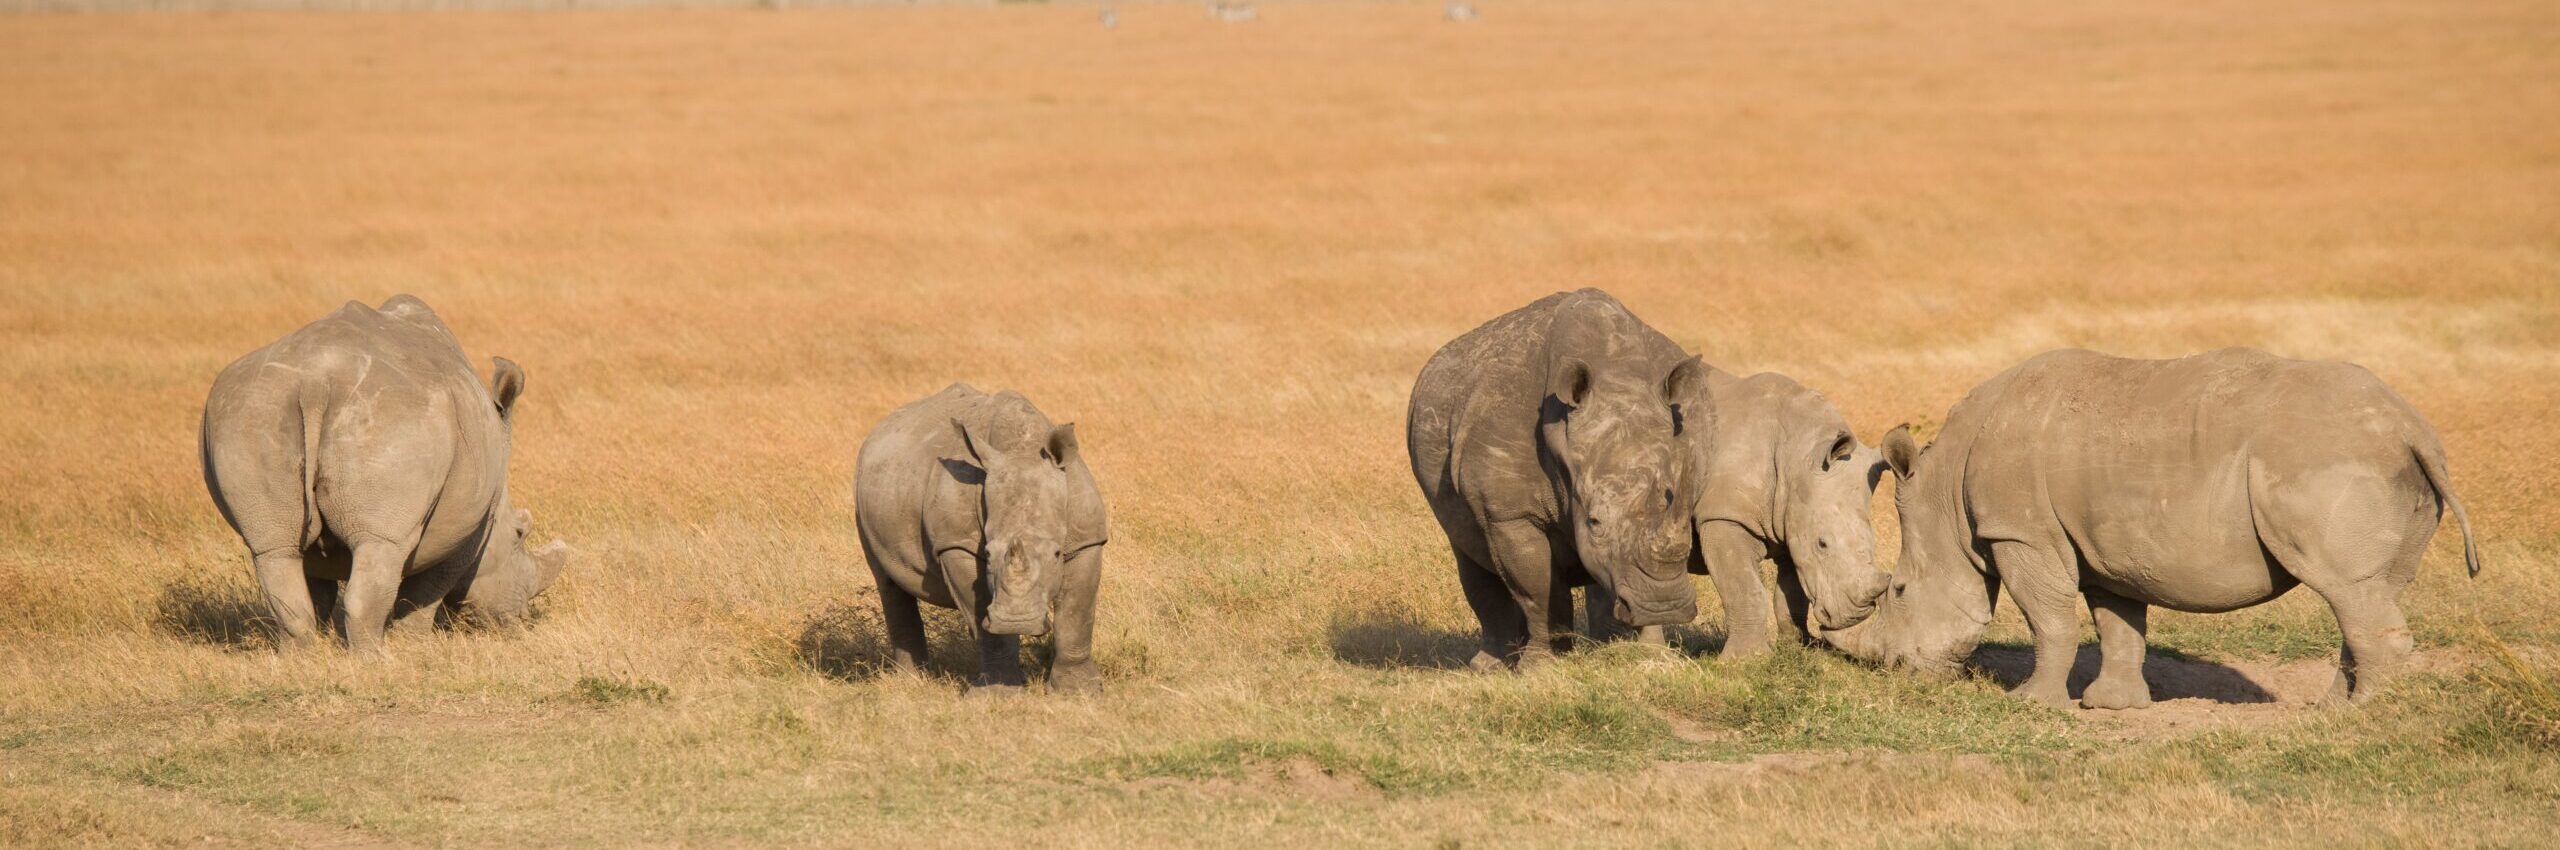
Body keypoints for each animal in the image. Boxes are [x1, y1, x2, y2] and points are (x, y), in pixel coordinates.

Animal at [200, 295, 570, 655]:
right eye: (519, 534)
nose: (521, 619)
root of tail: (316, 382)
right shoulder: (468, 530)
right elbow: (425, 592)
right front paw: (415, 647)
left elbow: (317, 588)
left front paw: (322, 644)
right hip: (394, 422)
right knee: (380, 547)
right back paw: (376, 660)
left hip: (254, 412)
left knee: (275, 551)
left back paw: (297, 658)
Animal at [854, 385, 1108, 694]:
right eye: (987, 555)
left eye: (1058, 554)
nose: (1016, 621)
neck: (1020, 448)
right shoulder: (956, 542)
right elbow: (982, 615)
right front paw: (998, 693)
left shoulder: (1087, 539)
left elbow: (1076, 614)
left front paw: (1080, 691)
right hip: (863, 491)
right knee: (888, 582)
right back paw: (911, 683)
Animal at [1408, 289, 1710, 670]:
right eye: (1594, 523)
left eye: (1687, 523)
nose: (1664, 604)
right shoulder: (1509, 516)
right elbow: (1537, 589)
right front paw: (1541, 669)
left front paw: (1649, 657)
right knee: (1472, 556)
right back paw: (1490, 666)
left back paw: (1603, 645)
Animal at [1586, 369, 1895, 657]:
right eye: (1822, 544)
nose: (1853, 617)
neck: (1798, 453)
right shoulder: (1724, 516)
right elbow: (1745, 588)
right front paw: (1748, 659)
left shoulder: (1790, 521)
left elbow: (1791, 595)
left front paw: (1798, 647)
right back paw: (1649, 653)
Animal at [1821, 348, 2481, 708]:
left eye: (1898, 591)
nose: (1899, 673)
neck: (1946, 494)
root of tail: (2411, 428)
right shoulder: (2103, 546)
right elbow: (2118, 625)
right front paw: (2110, 706)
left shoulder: (2020, 531)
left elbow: (2050, 619)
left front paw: (2032, 703)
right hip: (2392, 461)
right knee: (2369, 592)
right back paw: (2331, 709)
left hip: (2331, 454)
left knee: (2348, 588)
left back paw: (2357, 718)